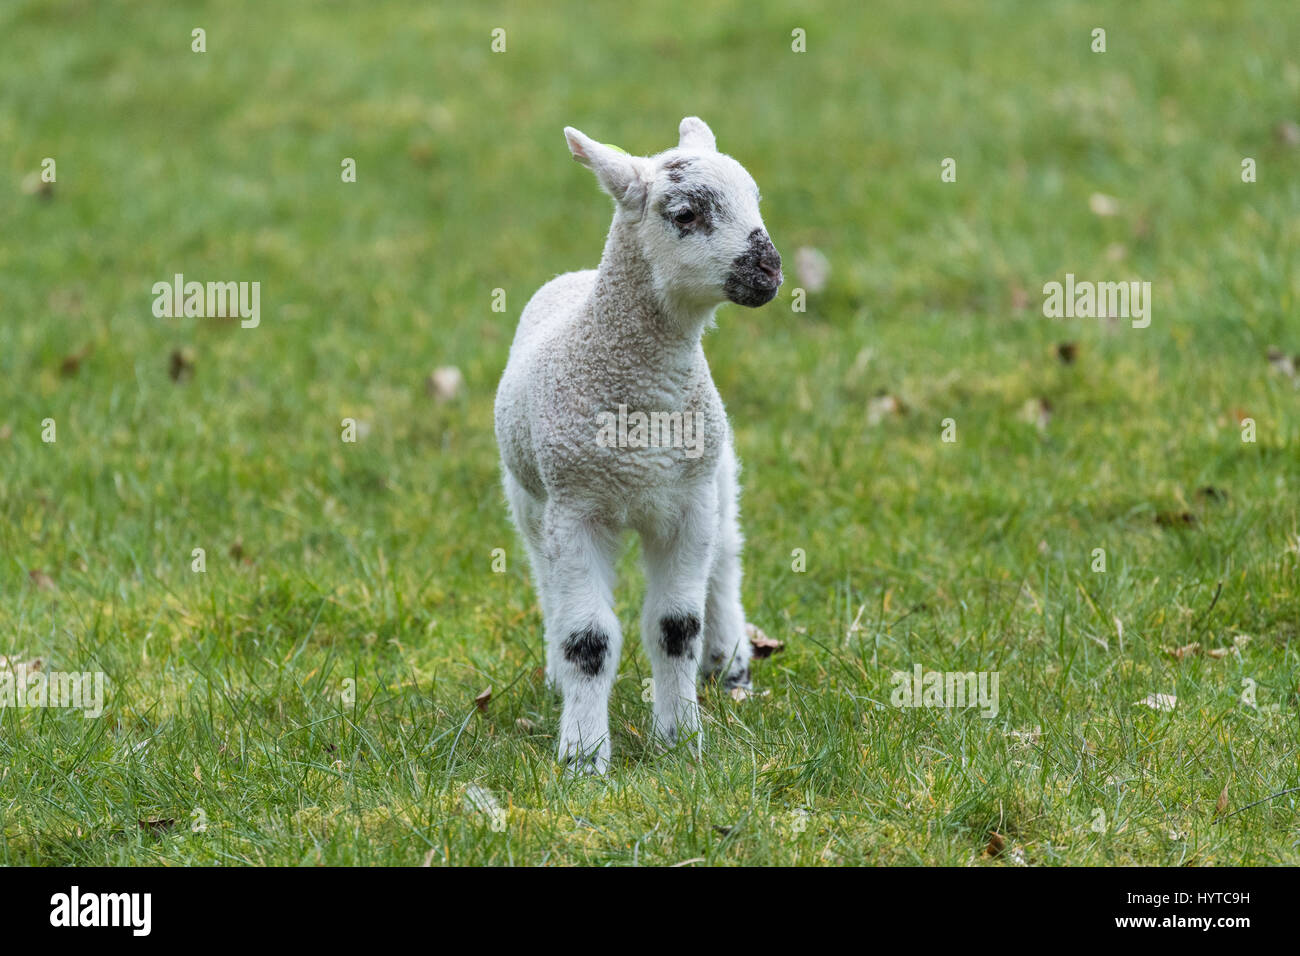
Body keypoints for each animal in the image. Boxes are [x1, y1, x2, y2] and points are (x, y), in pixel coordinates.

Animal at [494, 116, 782, 773]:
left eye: (756, 198)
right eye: (685, 215)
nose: (771, 270)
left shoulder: (688, 502)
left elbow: (676, 627)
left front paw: (682, 744)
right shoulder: (576, 505)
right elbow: (589, 640)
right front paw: (582, 758)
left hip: (718, 474)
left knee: (727, 557)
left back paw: (730, 662)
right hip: (530, 495)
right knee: (543, 575)